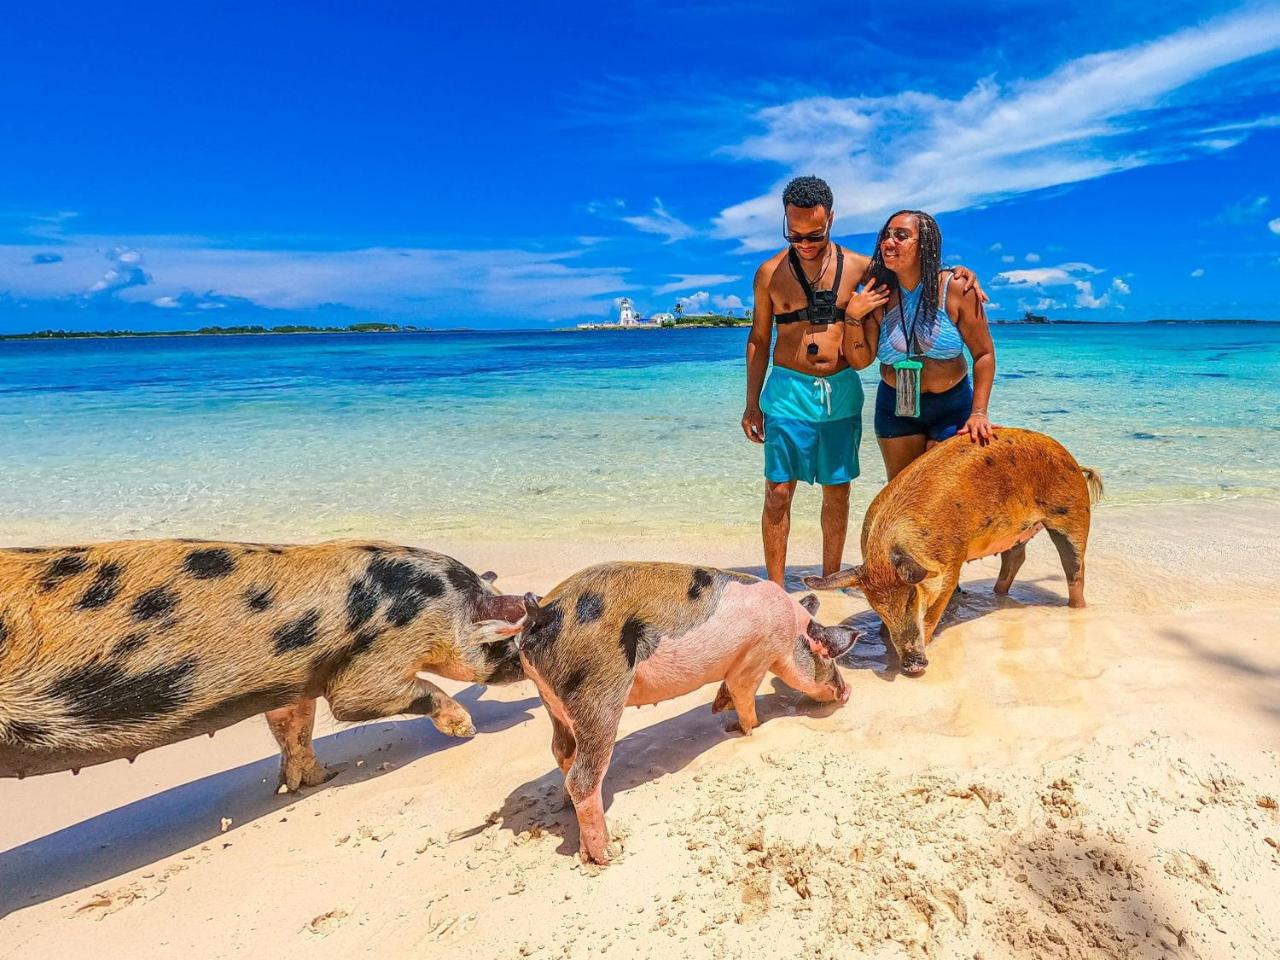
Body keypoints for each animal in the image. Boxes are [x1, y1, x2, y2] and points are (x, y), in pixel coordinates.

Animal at [0, 539, 526, 790]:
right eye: (508, 644)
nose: (524, 668)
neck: (442, 605)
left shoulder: (295, 682)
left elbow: (293, 727)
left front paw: (311, 783)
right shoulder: (376, 658)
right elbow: (359, 699)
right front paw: (465, 729)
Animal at [515, 561, 857, 865]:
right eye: (827, 655)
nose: (849, 690)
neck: (791, 632)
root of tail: (542, 613)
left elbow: (728, 690)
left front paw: (722, 712)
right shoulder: (756, 655)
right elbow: (744, 695)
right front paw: (749, 728)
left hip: (552, 701)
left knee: (562, 752)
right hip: (598, 691)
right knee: (583, 778)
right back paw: (610, 854)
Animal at [804, 428, 1102, 677]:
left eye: (911, 597)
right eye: (875, 606)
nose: (912, 665)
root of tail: (1074, 462)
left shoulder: (952, 562)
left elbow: (934, 611)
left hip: (1074, 515)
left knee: (1075, 569)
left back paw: (1077, 607)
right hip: (1016, 533)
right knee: (1015, 558)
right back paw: (998, 595)